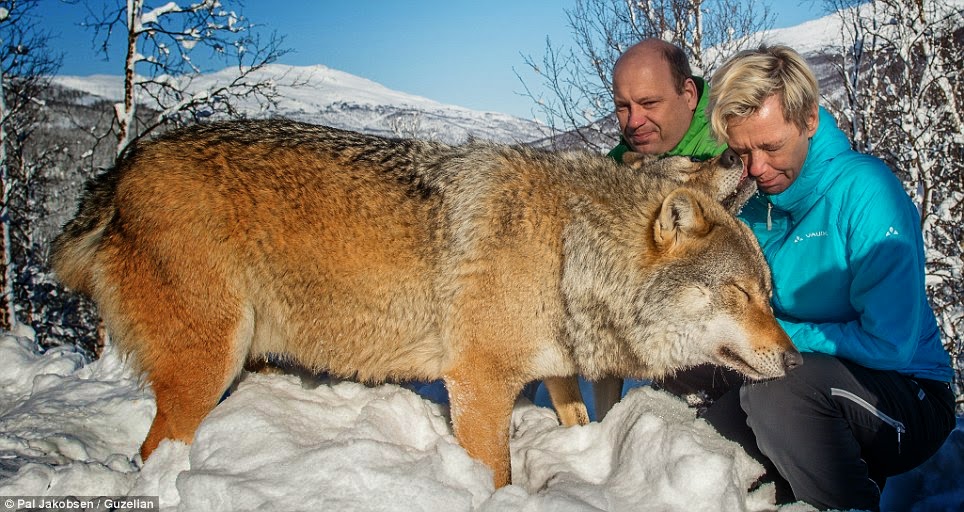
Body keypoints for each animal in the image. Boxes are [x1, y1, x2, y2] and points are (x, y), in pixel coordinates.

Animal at [52, 119, 799, 488]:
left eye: (768, 295)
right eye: (738, 294)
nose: (795, 363)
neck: (568, 246)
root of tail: (118, 169)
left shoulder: (552, 369)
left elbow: (579, 419)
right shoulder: (478, 382)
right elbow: (495, 475)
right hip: (209, 360)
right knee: (153, 452)